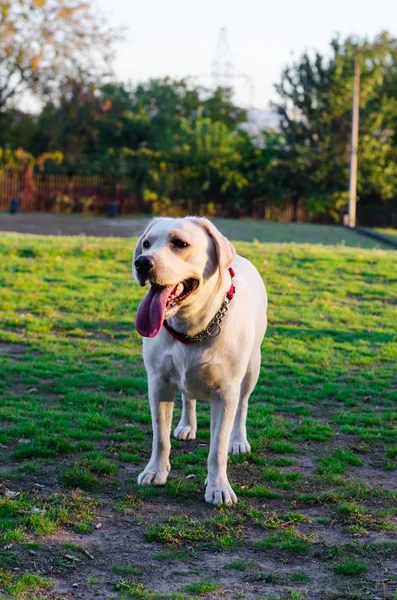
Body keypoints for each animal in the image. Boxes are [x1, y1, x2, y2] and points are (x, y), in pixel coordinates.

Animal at [133, 218, 266, 504]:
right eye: (146, 244)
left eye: (179, 243)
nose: (141, 262)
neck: (192, 327)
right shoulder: (158, 383)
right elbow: (160, 437)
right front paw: (156, 471)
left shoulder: (226, 393)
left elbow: (217, 447)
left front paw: (218, 487)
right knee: (188, 397)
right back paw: (186, 425)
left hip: (252, 368)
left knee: (243, 405)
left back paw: (238, 441)